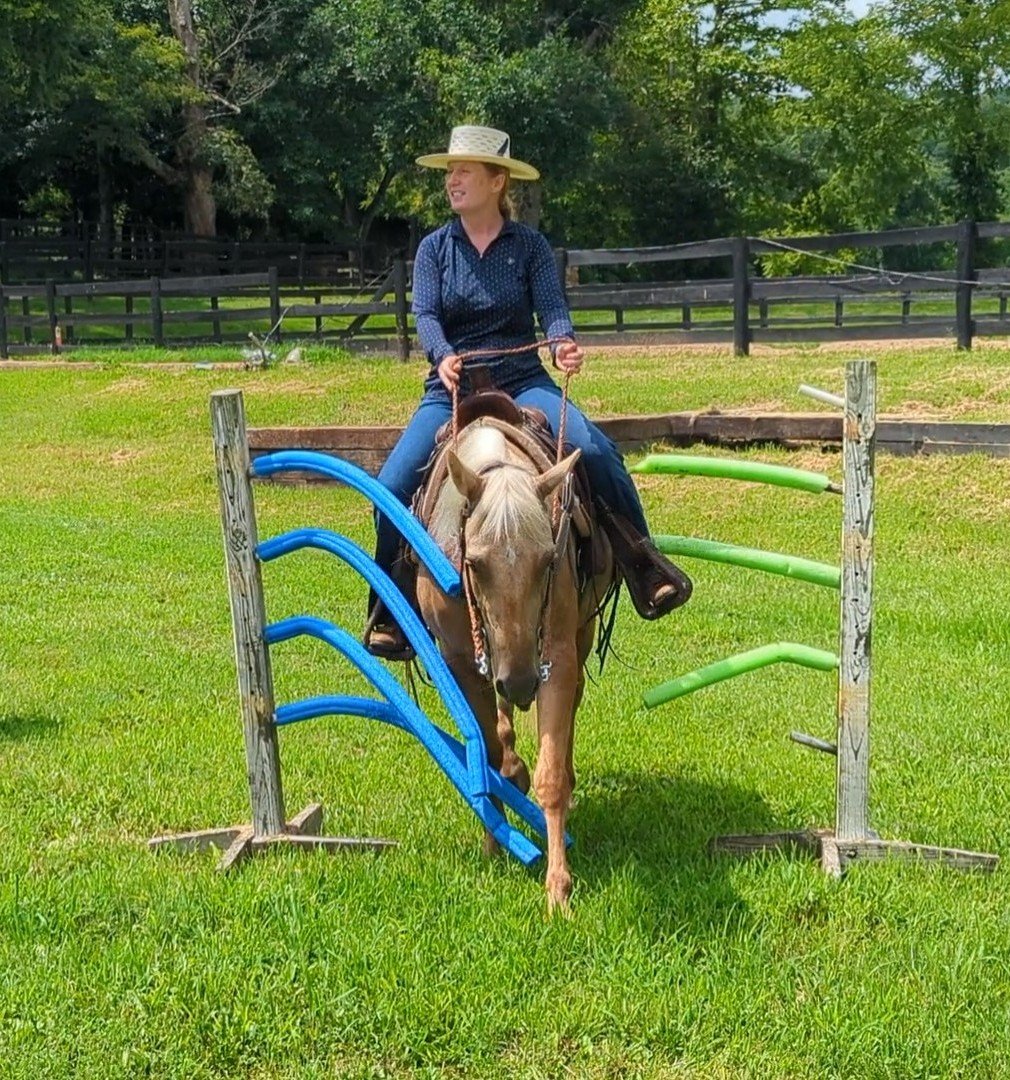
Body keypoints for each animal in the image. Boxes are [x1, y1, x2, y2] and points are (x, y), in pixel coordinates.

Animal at [414, 415, 615, 912]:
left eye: (548, 561)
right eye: (474, 562)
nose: (523, 682)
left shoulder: (555, 657)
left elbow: (551, 774)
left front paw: (558, 887)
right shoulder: (462, 662)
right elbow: (485, 752)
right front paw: (494, 843)